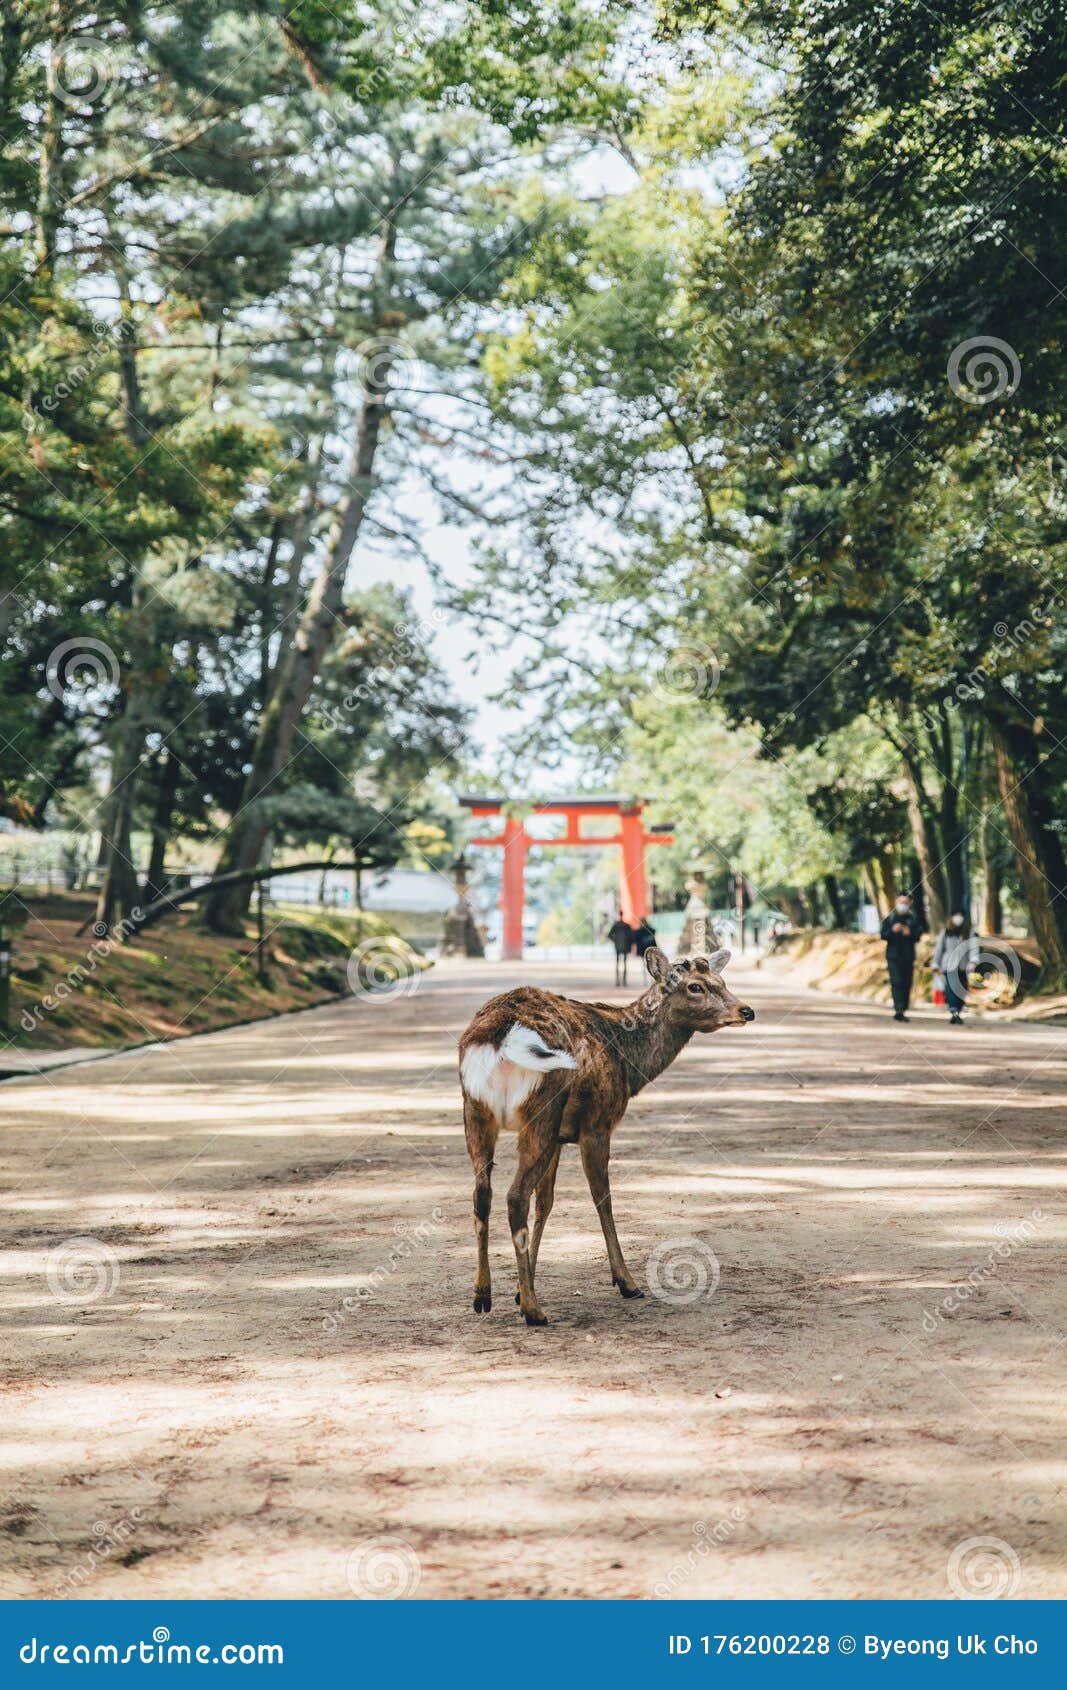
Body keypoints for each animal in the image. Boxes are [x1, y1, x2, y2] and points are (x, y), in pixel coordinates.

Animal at [458, 946, 755, 1325]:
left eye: (722, 980)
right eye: (695, 986)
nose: (745, 1010)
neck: (629, 1064)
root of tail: (499, 1038)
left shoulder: (560, 1136)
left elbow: (546, 1203)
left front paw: (521, 1289)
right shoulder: (598, 1123)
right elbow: (603, 1198)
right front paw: (627, 1281)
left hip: (476, 1110)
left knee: (483, 1192)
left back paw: (483, 1295)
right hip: (541, 1110)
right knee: (515, 1196)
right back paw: (534, 1311)